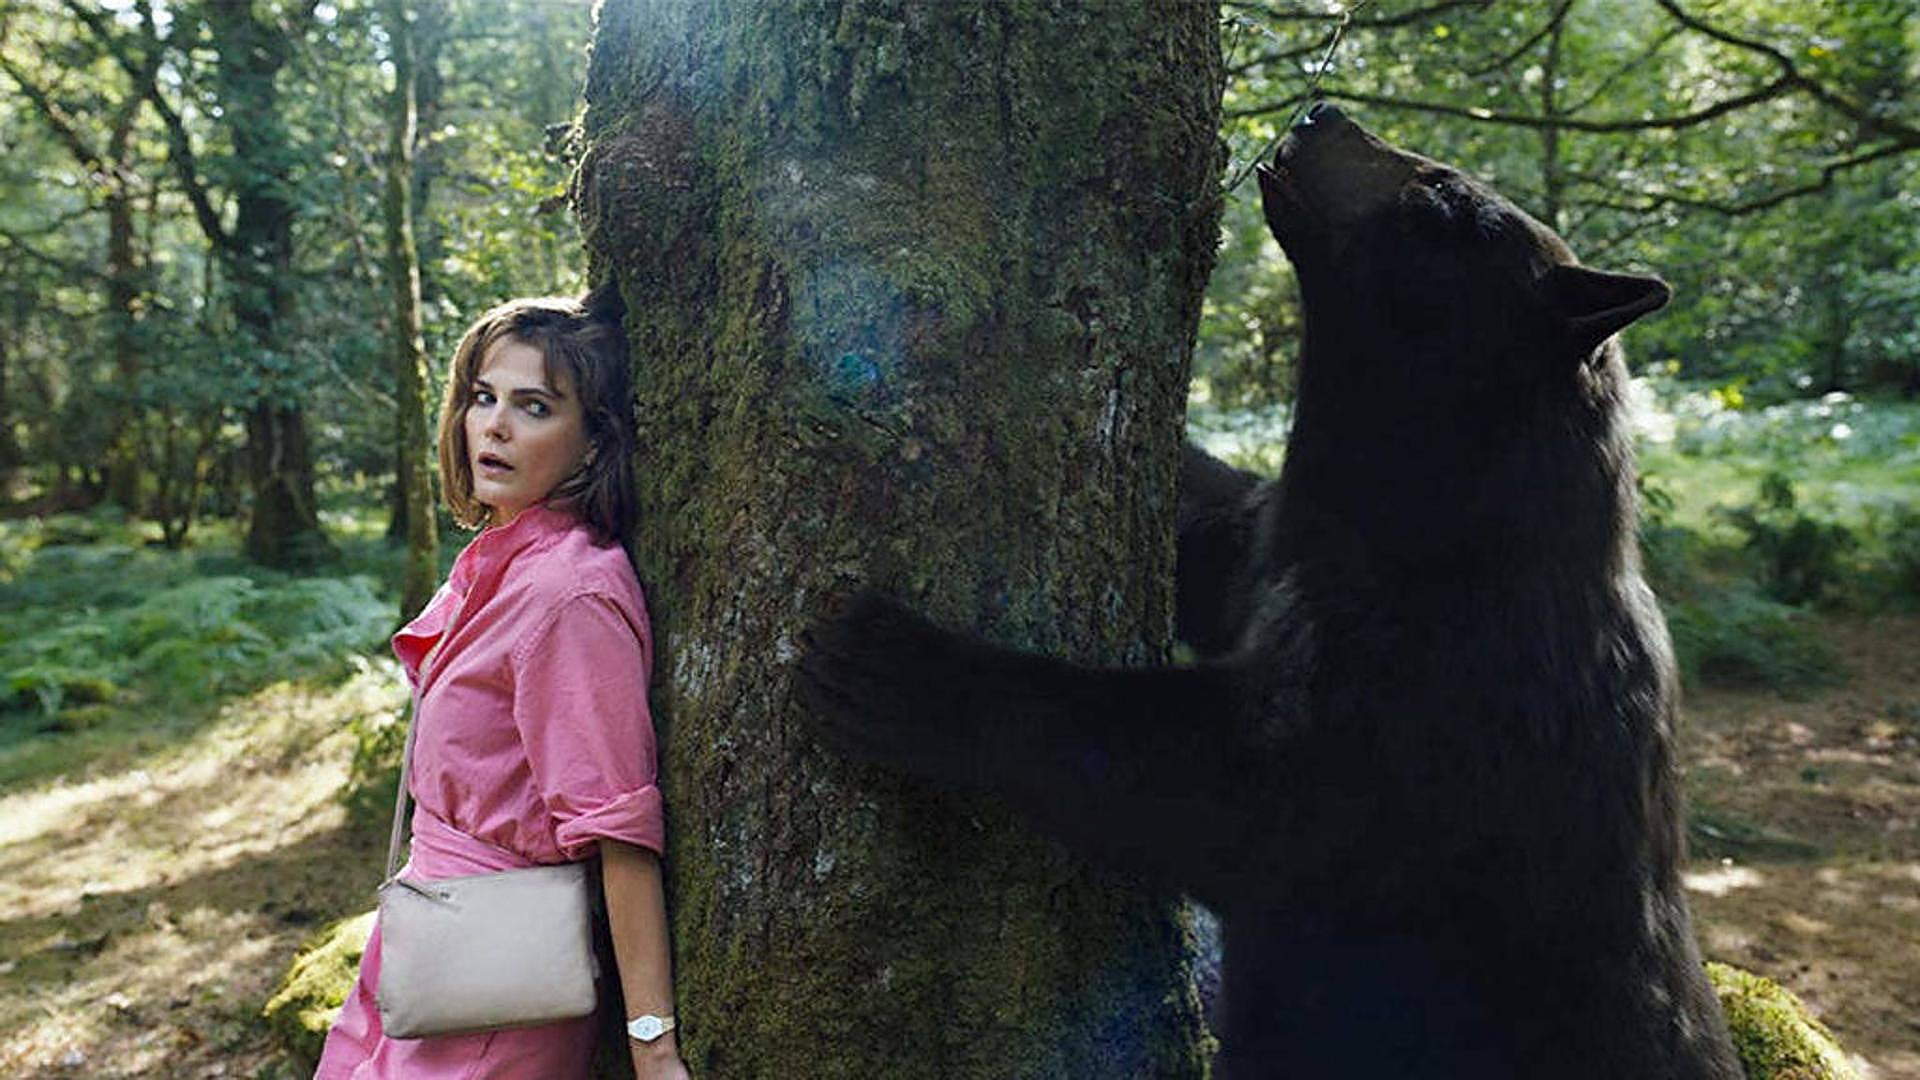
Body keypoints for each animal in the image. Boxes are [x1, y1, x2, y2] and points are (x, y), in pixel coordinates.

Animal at [796, 103, 1742, 1079]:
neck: (1427, 525)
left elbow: (1228, 794)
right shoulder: (1276, 547)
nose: (1324, 112)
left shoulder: (1442, 705)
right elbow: (1210, 531)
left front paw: (899, 668)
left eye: (1441, 197)